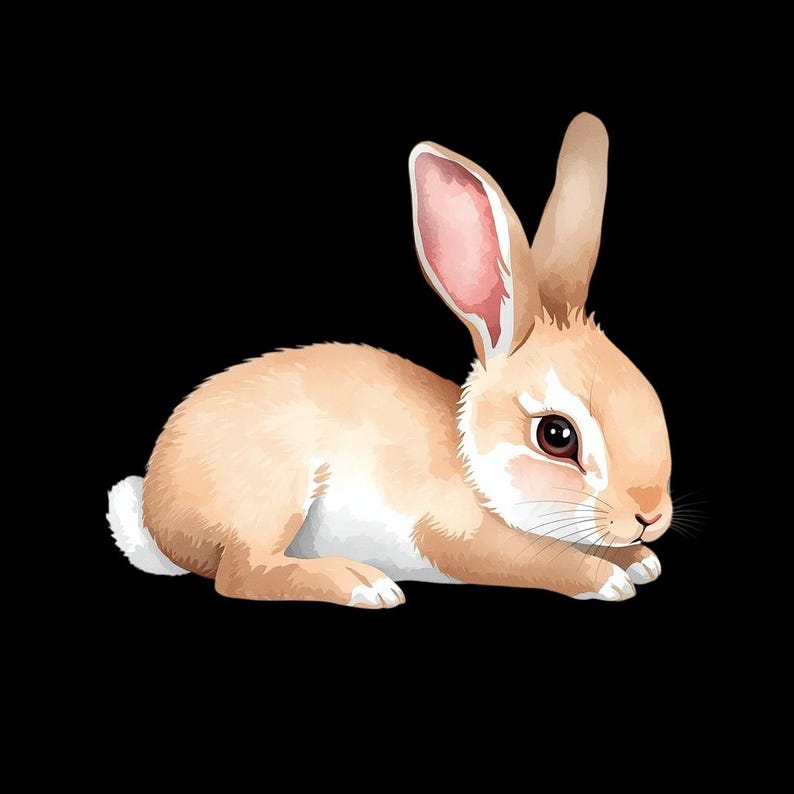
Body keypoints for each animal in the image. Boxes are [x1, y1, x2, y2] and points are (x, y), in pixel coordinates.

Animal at [107, 112, 671, 607]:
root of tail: (155, 509)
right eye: (556, 436)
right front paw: (607, 578)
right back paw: (364, 584)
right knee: (242, 572)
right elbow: (537, 557)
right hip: (272, 491)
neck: (473, 468)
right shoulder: (454, 538)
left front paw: (639, 561)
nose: (650, 518)